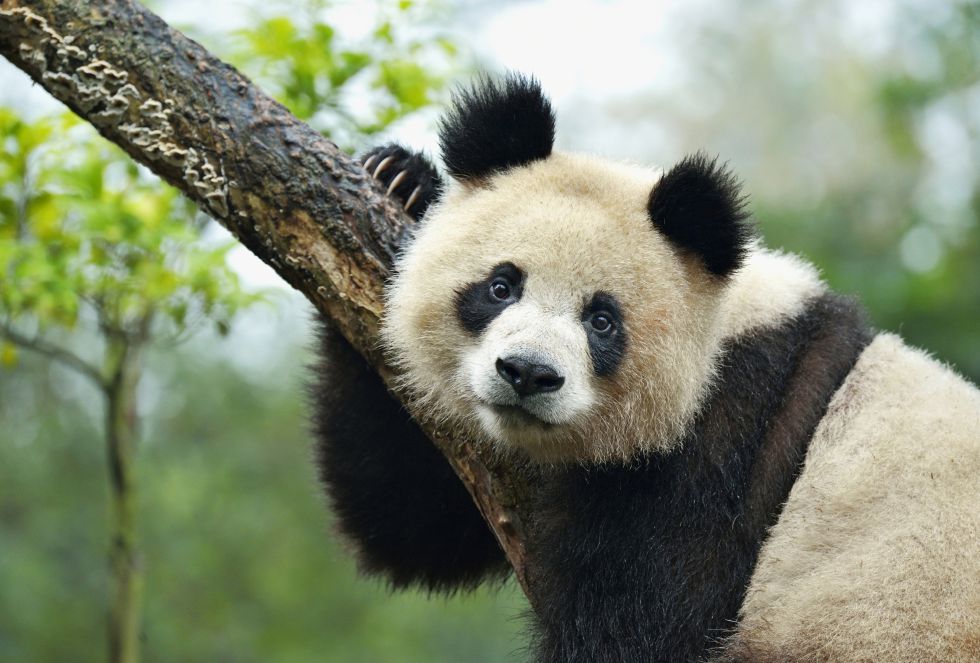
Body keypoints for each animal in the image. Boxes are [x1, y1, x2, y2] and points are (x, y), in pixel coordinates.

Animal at [311, 73, 980, 662]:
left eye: (602, 321)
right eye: (501, 286)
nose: (527, 374)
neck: (721, 329)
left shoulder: (728, 449)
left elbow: (645, 627)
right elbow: (412, 518)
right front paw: (401, 177)